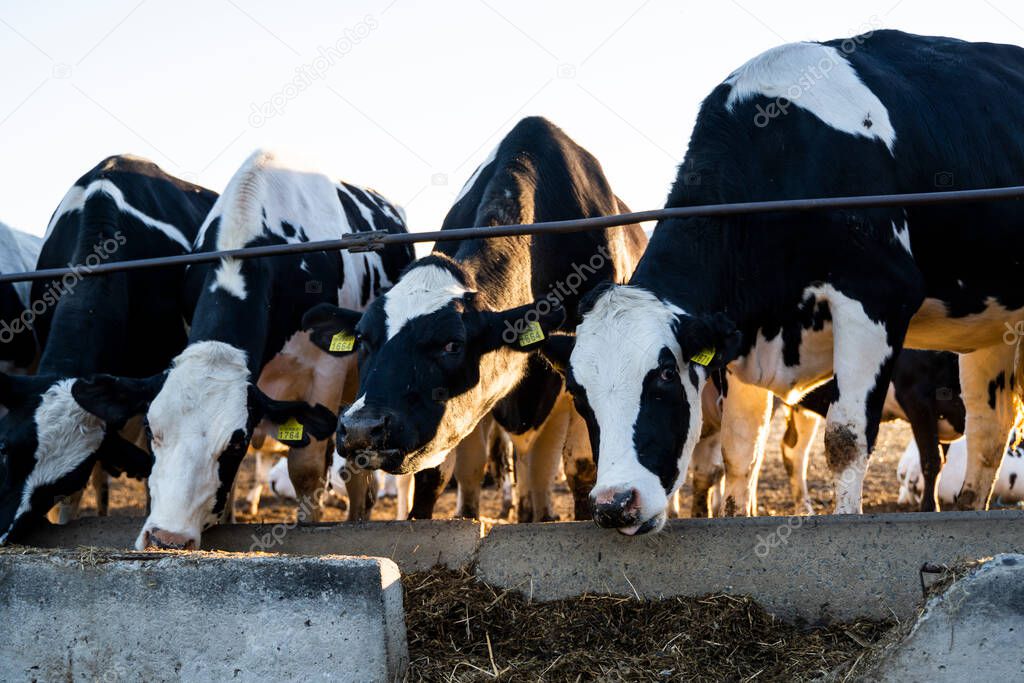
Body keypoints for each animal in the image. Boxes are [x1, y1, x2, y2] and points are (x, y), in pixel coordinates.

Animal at [72, 149, 415, 549]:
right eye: (152, 430)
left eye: (235, 445)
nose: (166, 538)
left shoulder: (325, 372)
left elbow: (306, 469)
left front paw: (310, 527)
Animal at [511, 31, 1024, 534]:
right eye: (579, 394)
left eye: (663, 377)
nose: (615, 504)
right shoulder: (742, 335)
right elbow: (740, 452)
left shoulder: (877, 296)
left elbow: (846, 439)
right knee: (989, 433)